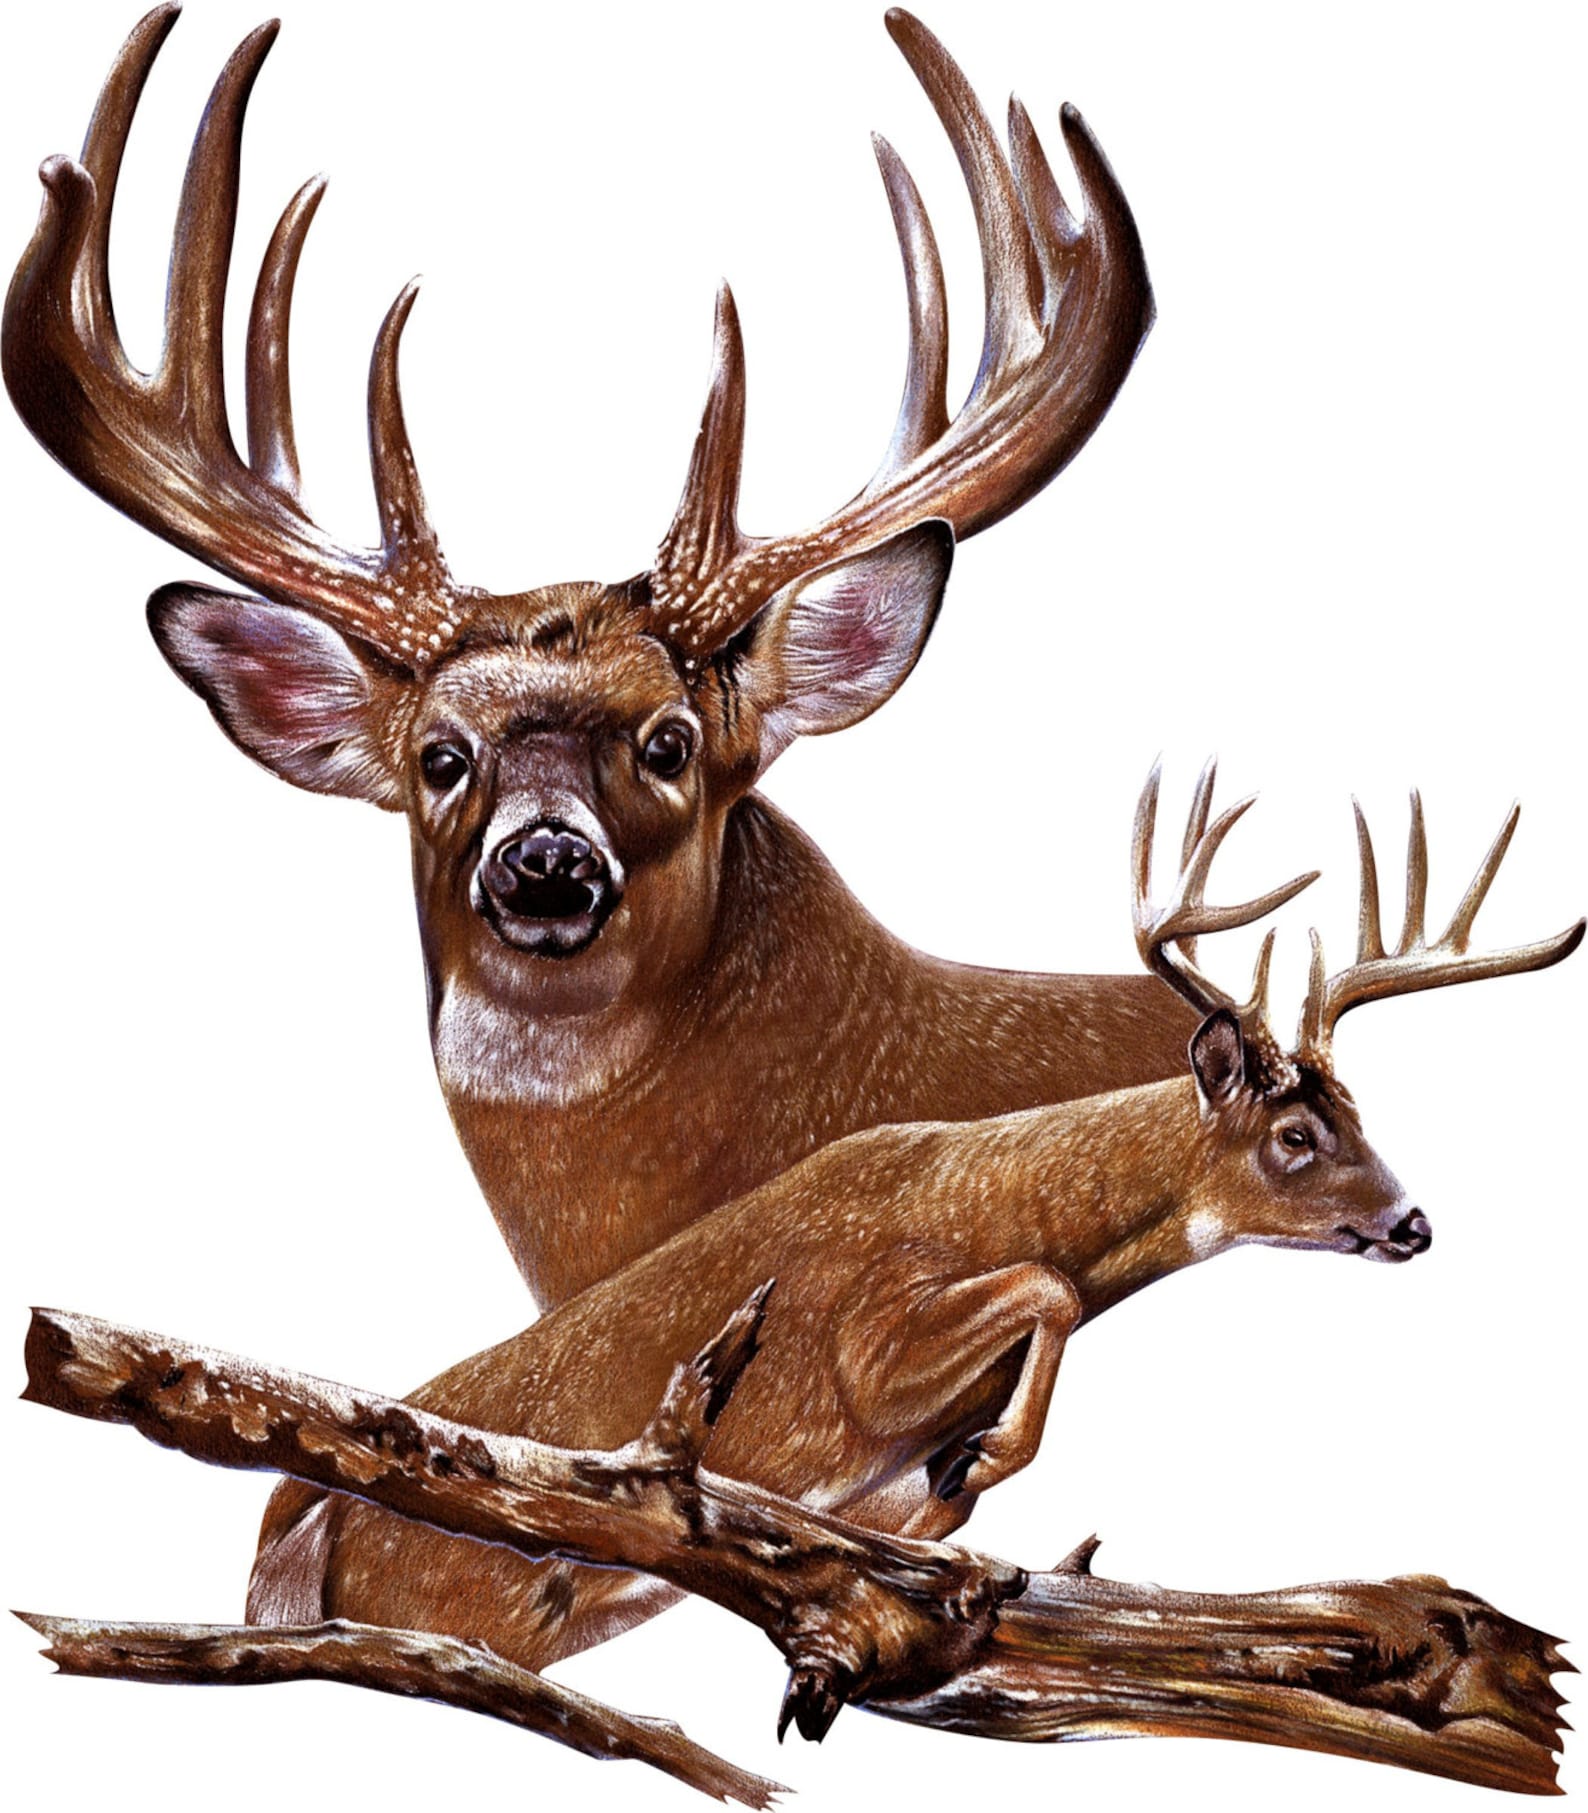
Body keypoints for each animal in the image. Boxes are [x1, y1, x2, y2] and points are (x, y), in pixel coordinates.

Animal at [246, 765, 1584, 1674]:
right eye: (1296, 1137)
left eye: (1359, 1108)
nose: (1413, 1221)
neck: (985, 1190)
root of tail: (280, 1538)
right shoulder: (865, 1337)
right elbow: (1043, 1290)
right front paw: (984, 1452)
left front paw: (966, 1488)